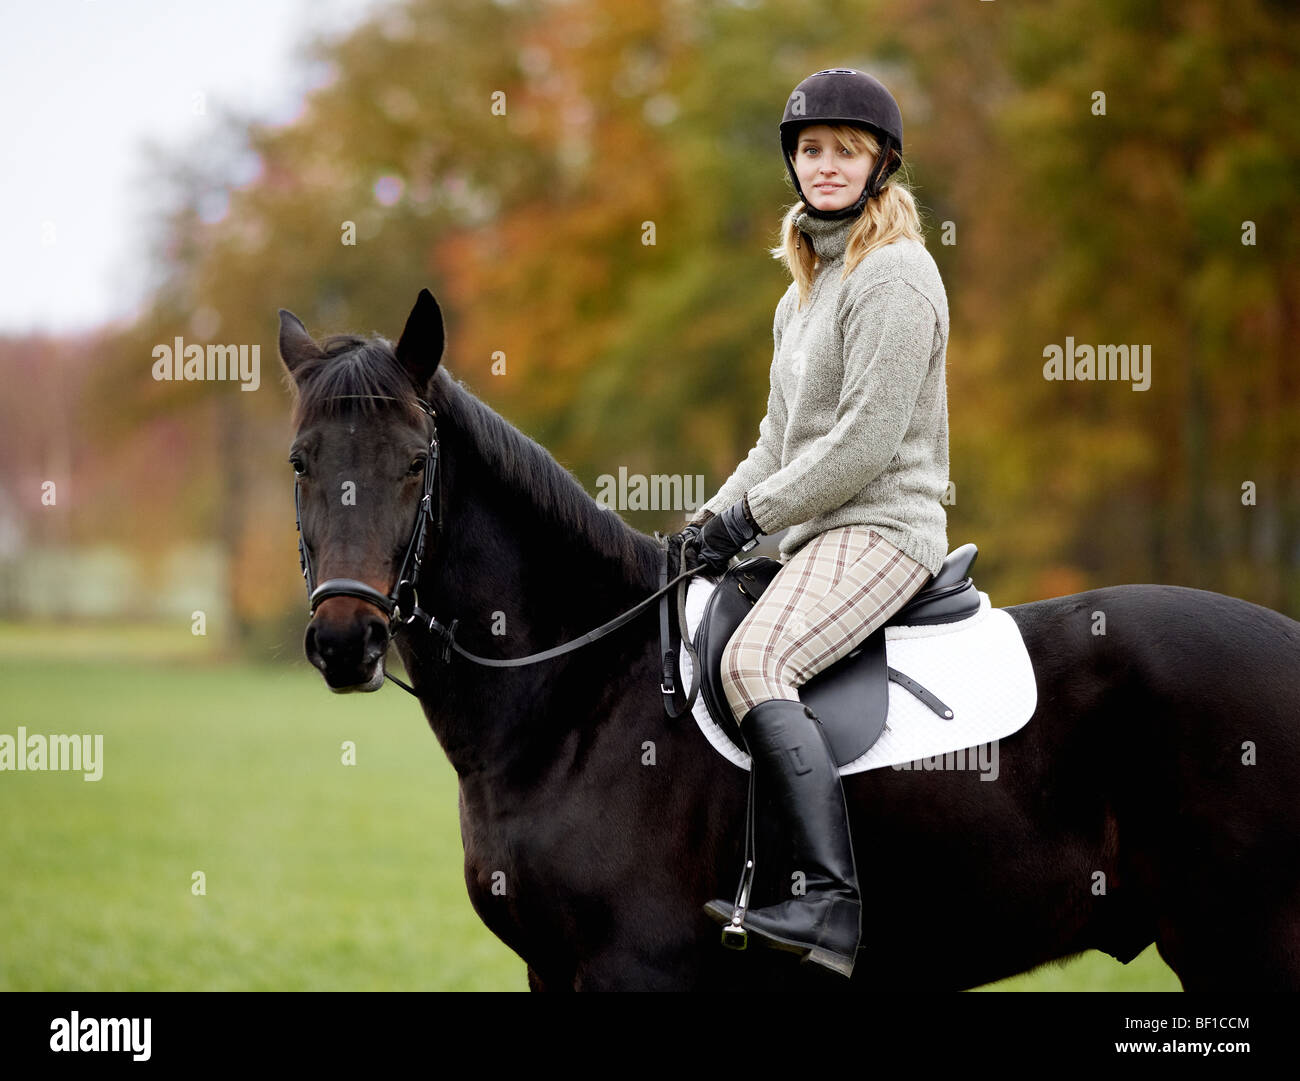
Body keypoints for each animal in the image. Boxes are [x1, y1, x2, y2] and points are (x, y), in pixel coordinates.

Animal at [278, 288, 1300, 991]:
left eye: (416, 463)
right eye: (300, 462)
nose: (344, 641)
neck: (579, 699)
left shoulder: (632, 967)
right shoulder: (550, 970)